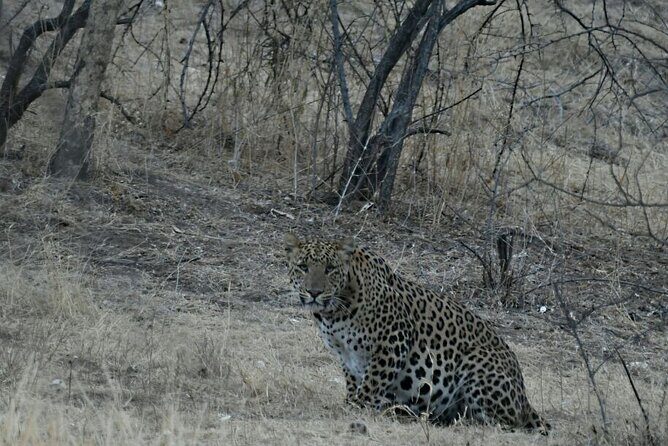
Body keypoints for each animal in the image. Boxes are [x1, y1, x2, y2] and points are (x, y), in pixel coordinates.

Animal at [284, 233, 550, 434]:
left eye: (330, 269)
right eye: (303, 267)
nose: (314, 292)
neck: (334, 313)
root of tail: (525, 400)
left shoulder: (392, 341)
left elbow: (372, 382)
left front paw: (356, 409)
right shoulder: (346, 354)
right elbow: (354, 381)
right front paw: (352, 402)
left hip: (478, 362)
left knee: (503, 423)